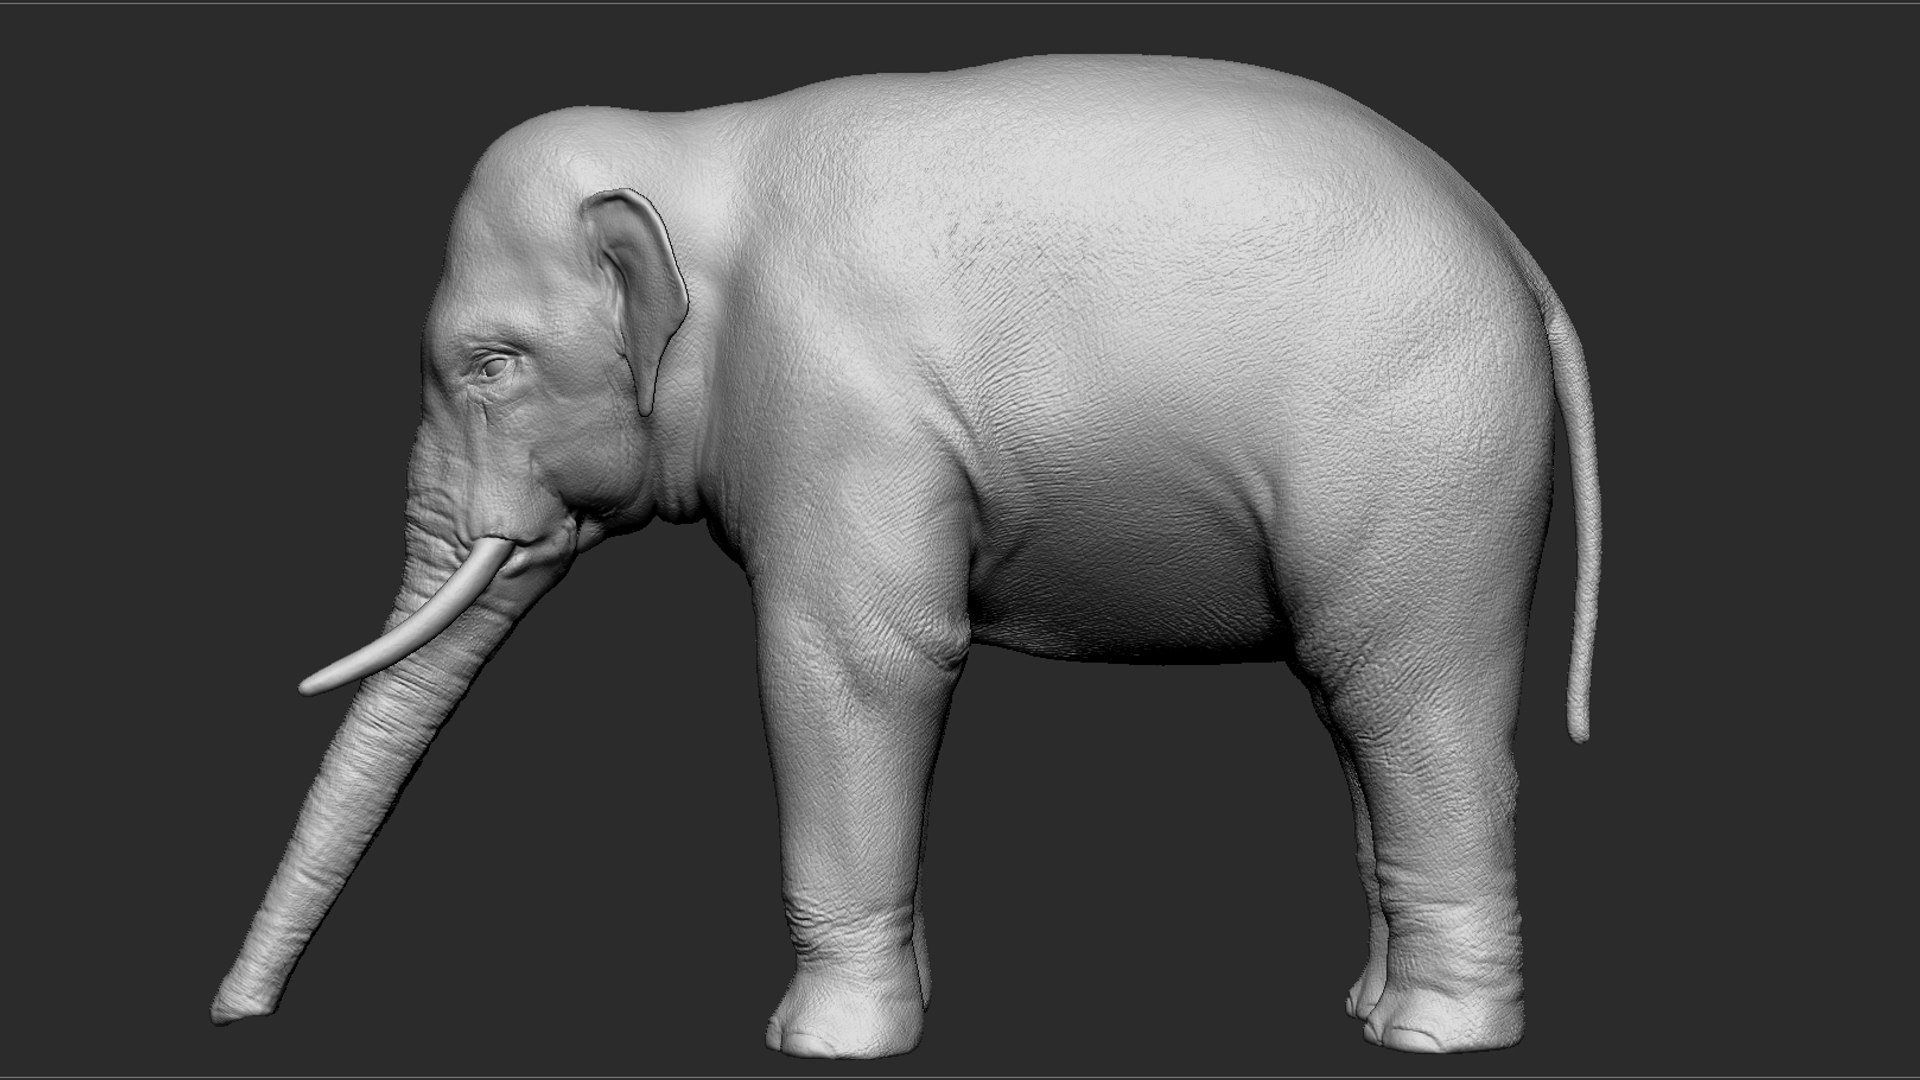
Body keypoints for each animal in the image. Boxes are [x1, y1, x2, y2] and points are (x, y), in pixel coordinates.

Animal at [211, 54, 1600, 1057]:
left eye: (491, 365)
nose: (238, 1018)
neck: (692, 146)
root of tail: (1515, 252)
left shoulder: (843, 405)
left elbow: (854, 664)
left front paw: (822, 1045)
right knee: (1352, 703)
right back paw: (1371, 1008)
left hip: (1425, 458)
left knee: (1411, 699)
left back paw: (1434, 1037)